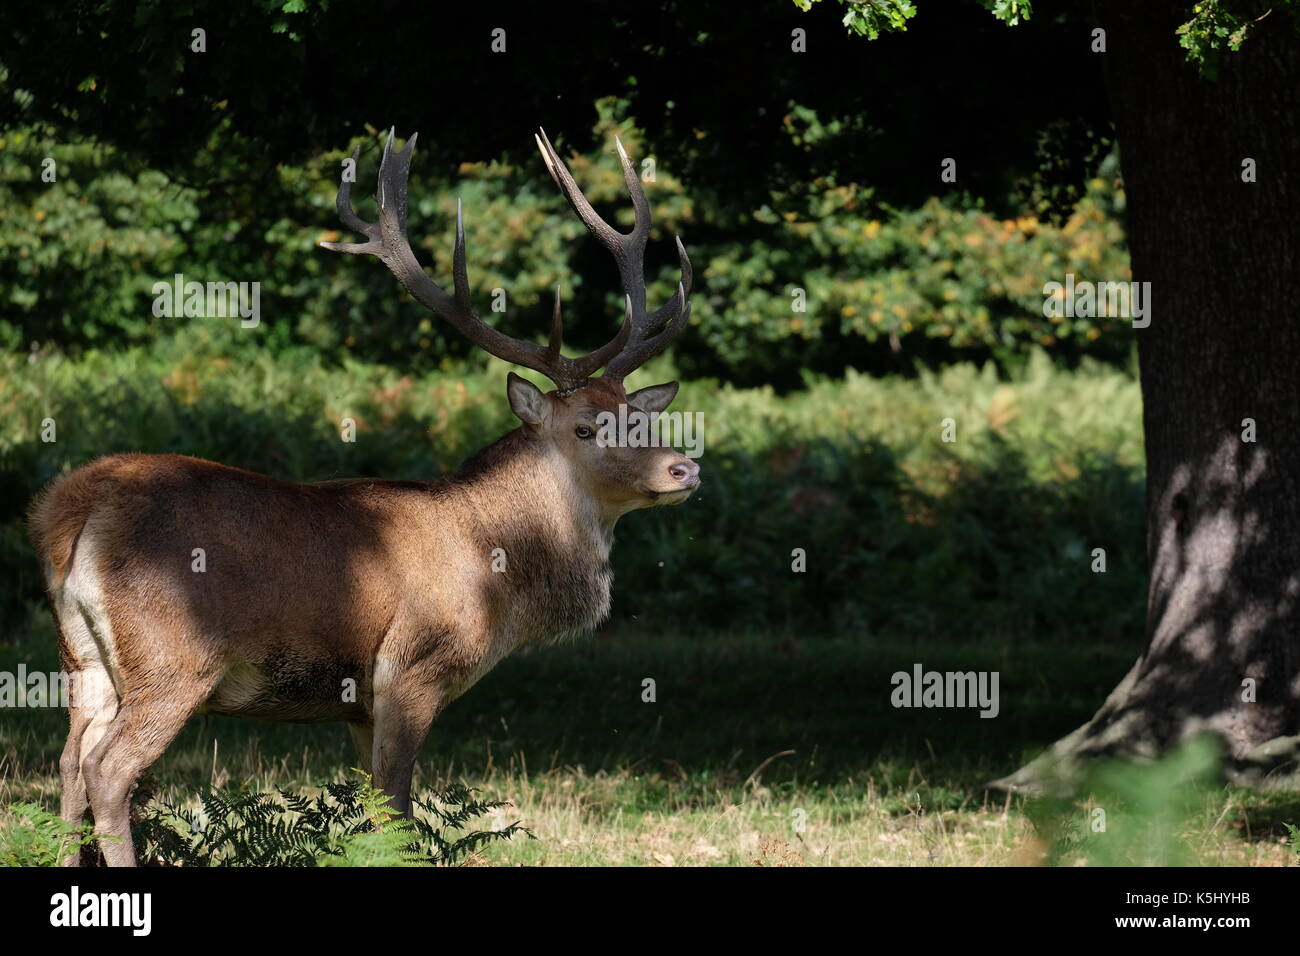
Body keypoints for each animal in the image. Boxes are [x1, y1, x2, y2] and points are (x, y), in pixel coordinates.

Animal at [28, 128, 699, 866]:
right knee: (109, 769)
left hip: (81, 658)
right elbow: (400, 810)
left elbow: (375, 809)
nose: (684, 468)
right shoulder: (411, 667)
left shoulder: (357, 706)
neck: (495, 569)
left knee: (68, 763)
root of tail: (72, 511)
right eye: (585, 427)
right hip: (172, 655)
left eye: (642, 417)